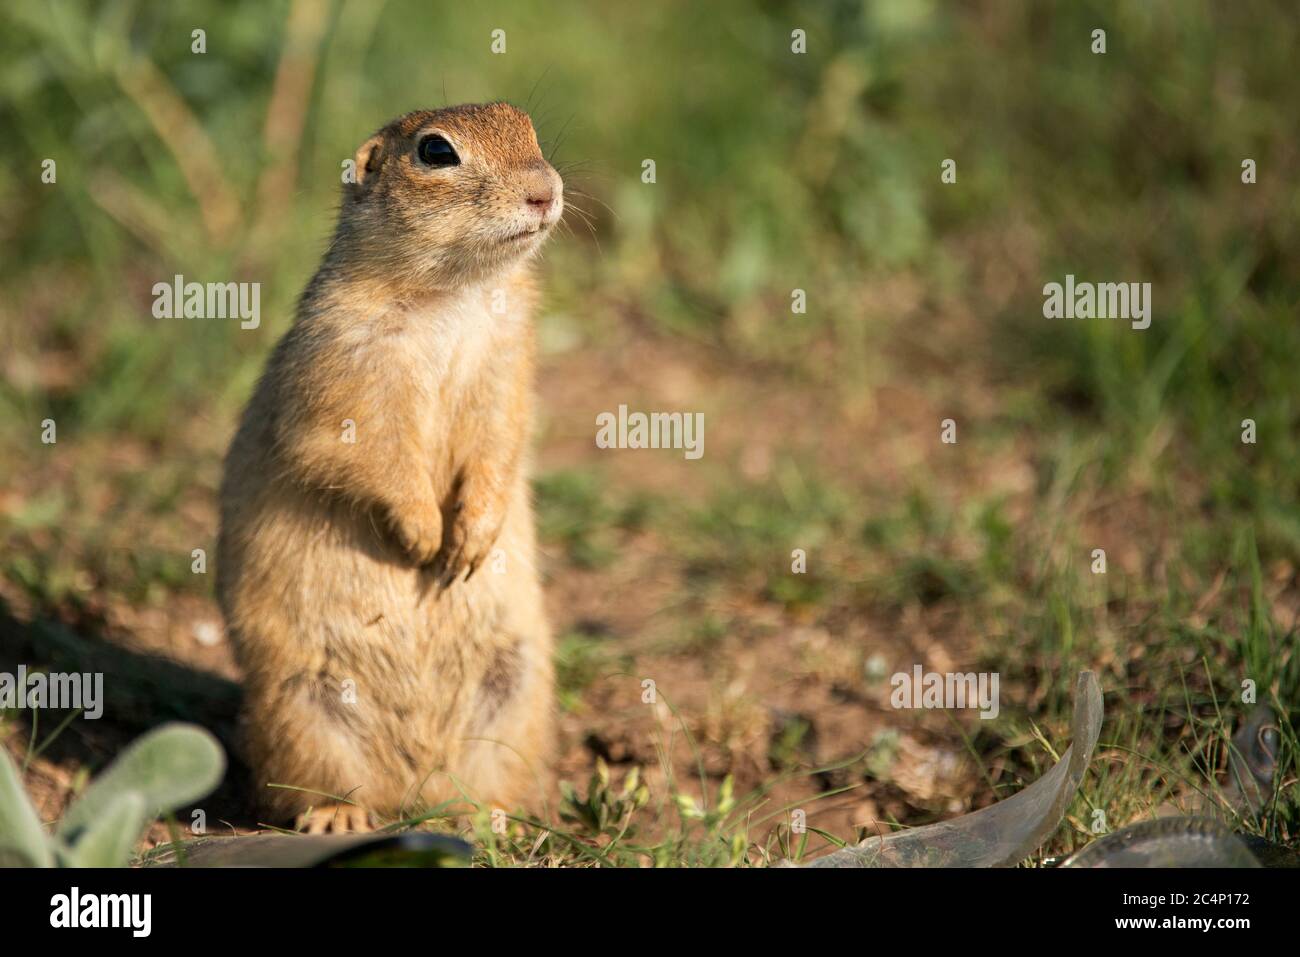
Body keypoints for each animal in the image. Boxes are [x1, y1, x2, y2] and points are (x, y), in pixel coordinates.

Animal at [217, 103, 561, 833]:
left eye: (527, 127)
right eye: (436, 152)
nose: (545, 191)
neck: (454, 295)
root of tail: (416, 784)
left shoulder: (508, 361)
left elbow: (501, 443)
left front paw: (468, 545)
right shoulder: (343, 362)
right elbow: (360, 453)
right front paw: (425, 540)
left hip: (517, 696)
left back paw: (484, 815)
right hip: (299, 705)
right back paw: (338, 817)